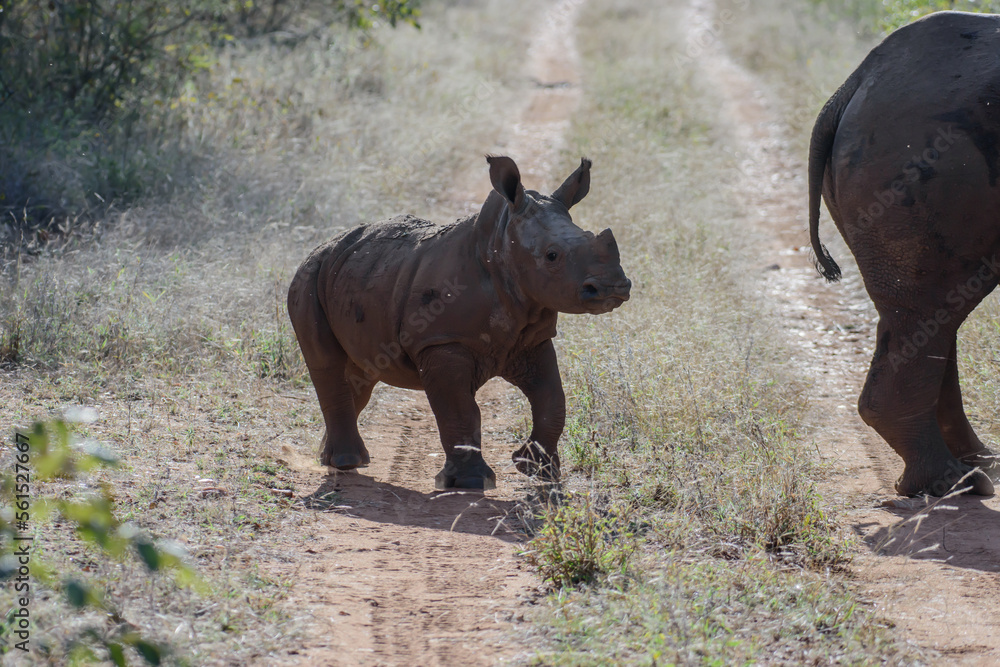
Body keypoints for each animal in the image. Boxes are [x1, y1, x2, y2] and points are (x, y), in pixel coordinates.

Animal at [287, 156, 630, 490]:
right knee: (327, 364)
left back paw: (332, 459)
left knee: (361, 373)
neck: (501, 246)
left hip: (358, 276)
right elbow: (460, 410)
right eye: (552, 256)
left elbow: (552, 401)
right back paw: (346, 462)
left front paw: (537, 470)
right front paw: (471, 482)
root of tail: (324, 245)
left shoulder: (533, 340)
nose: (614, 286)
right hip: (308, 275)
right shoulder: (441, 340)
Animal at [809, 11, 1000, 496]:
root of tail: (851, 86)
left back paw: (976, 468)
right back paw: (956, 482)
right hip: (922, 162)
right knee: (931, 304)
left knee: (932, 314)